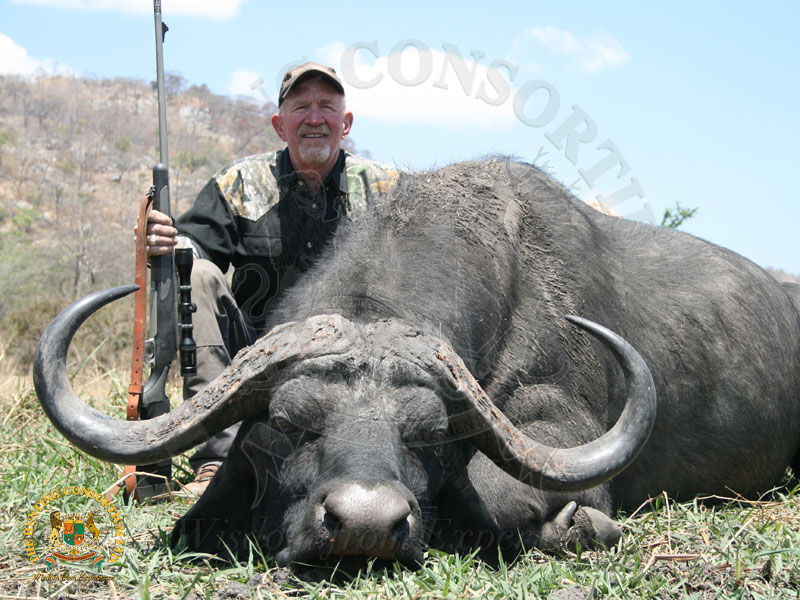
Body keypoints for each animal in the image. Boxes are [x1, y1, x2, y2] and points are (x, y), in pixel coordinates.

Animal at [34, 158, 800, 575]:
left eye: (428, 437)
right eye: (289, 425)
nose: (366, 525)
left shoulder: (558, 422)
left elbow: (502, 493)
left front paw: (577, 526)